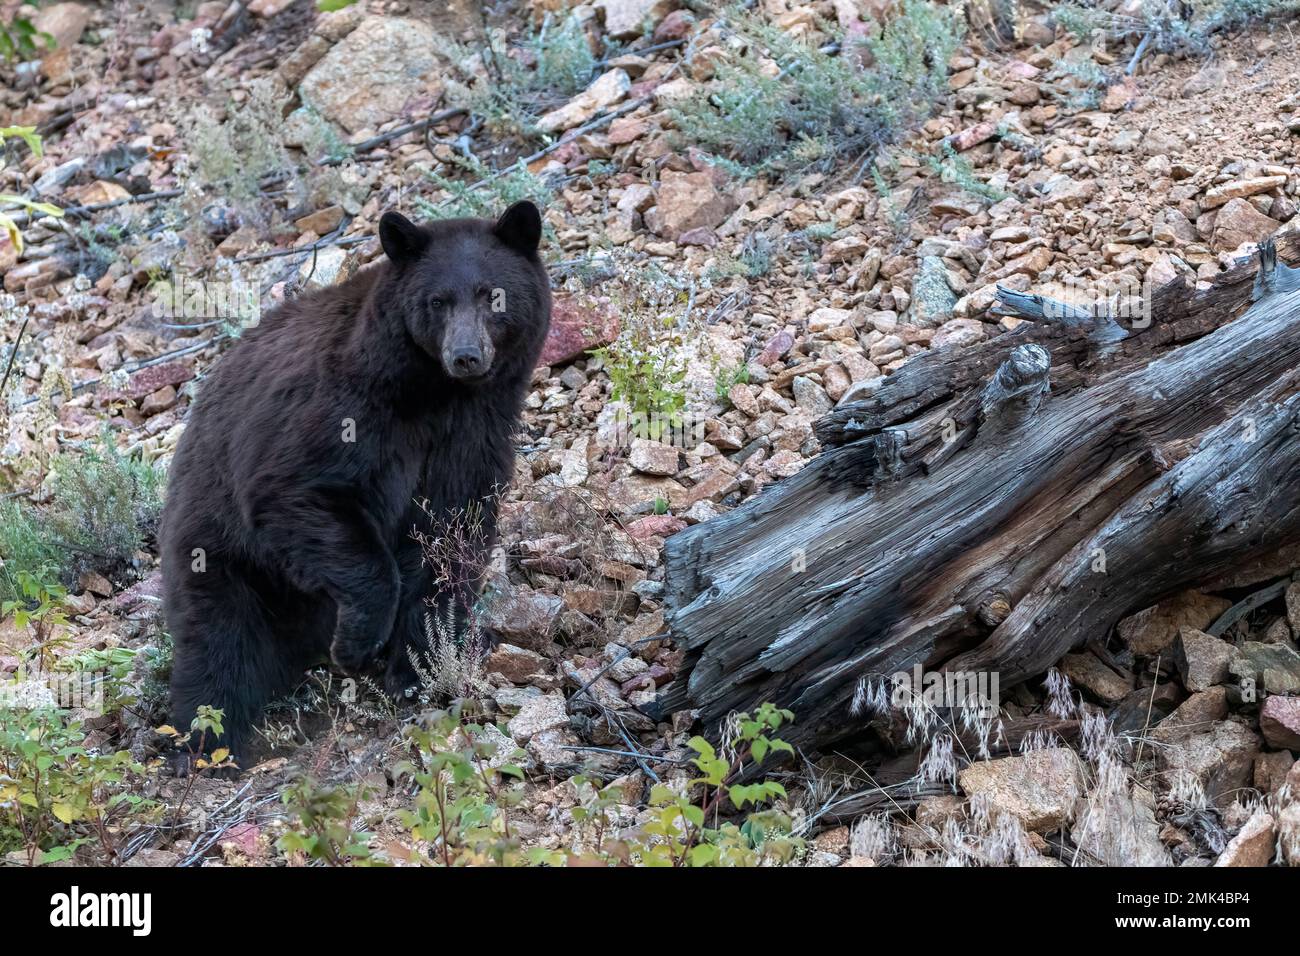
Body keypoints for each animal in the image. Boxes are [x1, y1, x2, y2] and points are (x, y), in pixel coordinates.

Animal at [160, 201, 551, 769]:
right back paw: (207, 742)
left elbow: (450, 531)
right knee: (217, 644)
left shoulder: (476, 428)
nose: (466, 355)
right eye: (437, 301)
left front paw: (420, 664)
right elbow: (297, 492)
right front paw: (357, 644)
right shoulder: (343, 406)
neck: (432, 393)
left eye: (492, 296)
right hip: (217, 548)